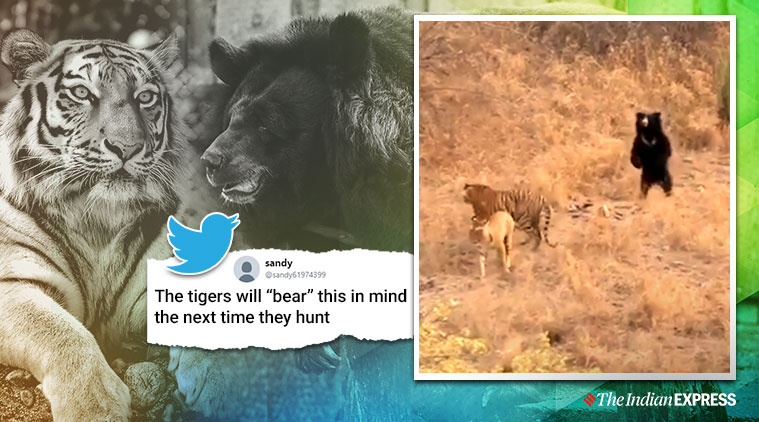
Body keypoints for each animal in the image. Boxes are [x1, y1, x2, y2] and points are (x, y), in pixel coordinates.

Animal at [0, 29, 187, 421]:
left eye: (145, 97)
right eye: (82, 93)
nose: (126, 147)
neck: (97, 219)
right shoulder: (13, 283)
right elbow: (59, 331)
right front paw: (95, 405)